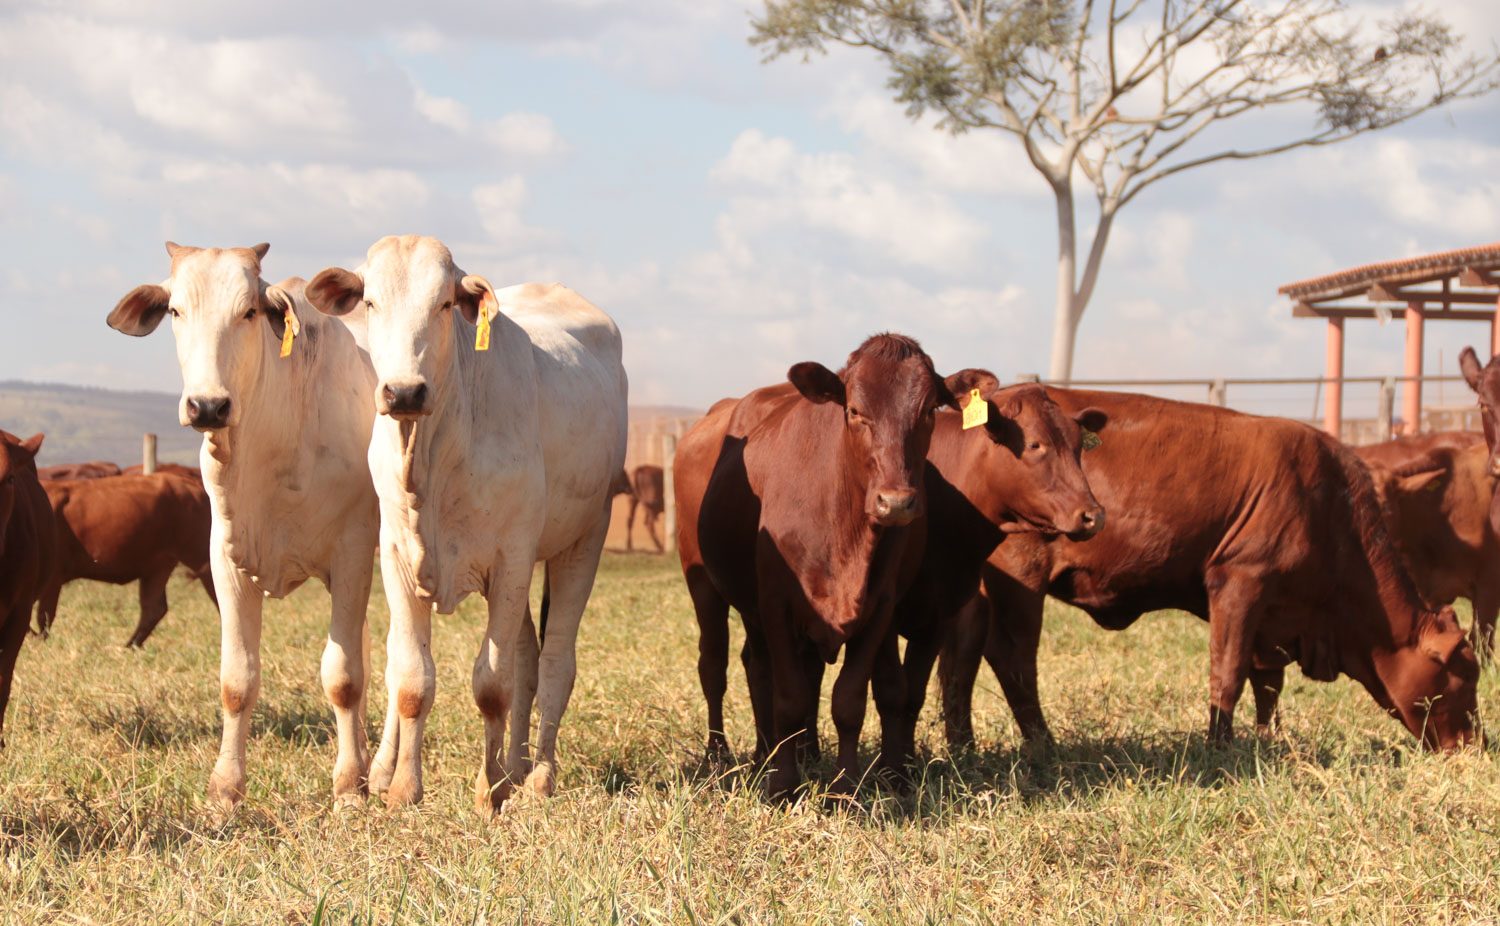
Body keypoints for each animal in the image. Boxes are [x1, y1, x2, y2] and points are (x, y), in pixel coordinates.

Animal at [34, 469, 216, 647]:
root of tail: (191, 483)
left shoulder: (53, 578)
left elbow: (44, 615)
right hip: (157, 566)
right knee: (154, 608)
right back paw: (129, 646)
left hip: (201, 558)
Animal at [107, 243, 379, 811]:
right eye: (175, 311)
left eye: (249, 312)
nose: (208, 405)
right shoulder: (225, 559)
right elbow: (238, 680)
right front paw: (225, 791)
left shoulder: (352, 550)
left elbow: (343, 678)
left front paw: (347, 789)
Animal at [307, 235, 627, 813]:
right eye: (370, 302)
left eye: (443, 304)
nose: (404, 392)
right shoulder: (396, 557)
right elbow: (413, 679)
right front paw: (404, 788)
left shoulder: (512, 559)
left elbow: (492, 685)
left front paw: (490, 790)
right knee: (526, 655)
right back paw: (515, 766)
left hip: (583, 541)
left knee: (555, 664)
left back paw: (538, 776)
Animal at [676, 335, 1000, 796]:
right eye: (855, 410)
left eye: (927, 412)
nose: (895, 502)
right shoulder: (777, 602)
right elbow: (790, 698)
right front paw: (783, 786)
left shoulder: (878, 608)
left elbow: (849, 700)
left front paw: (845, 787)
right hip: (703, 582)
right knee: (714, 666)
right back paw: (721, 756)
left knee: (757, 667)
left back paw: (766, 754)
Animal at [939, 389, 1480, 753]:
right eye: (1463, 674)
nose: (1472, 743)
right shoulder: (1240, 581)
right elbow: (1229, 673)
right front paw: (1221, 746)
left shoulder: (1273, 615)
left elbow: (1267, 684)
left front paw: (1267, 738)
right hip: (1021, 578)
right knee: (1012, 658)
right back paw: (1042, 742)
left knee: (962, 655)